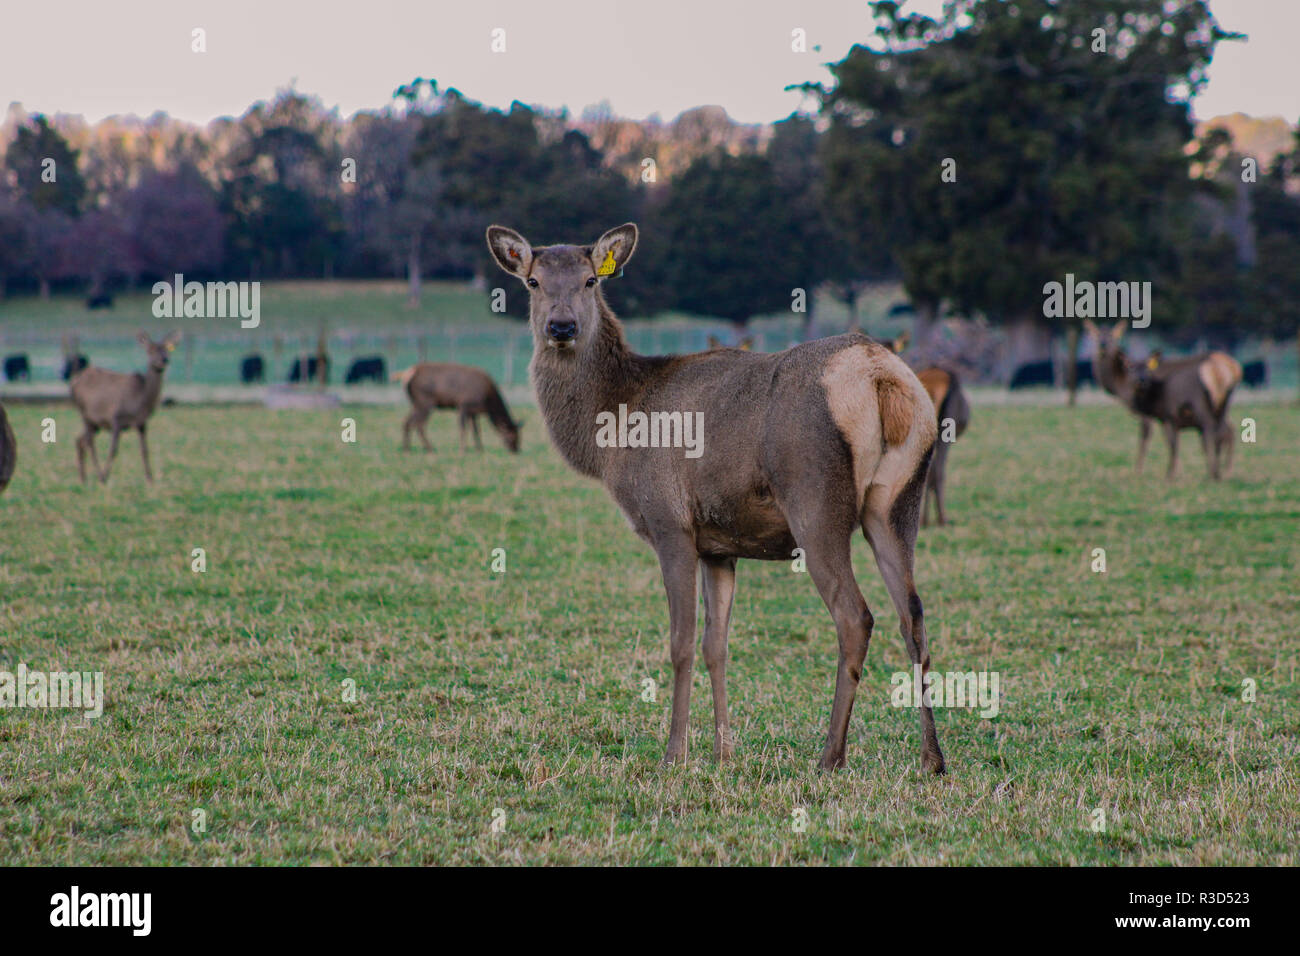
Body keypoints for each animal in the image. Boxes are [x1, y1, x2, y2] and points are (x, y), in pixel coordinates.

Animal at [70, 330, 180, 483]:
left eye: (166, 349)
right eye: (150, 350)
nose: (164, 360)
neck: (140, 402)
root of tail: (74, 381)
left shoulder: (142, 423)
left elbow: (144, 450)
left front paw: (150, 479)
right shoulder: (116, 417)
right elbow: (113, 449)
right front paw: (105, 477)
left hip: (95, 423)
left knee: (80, 440)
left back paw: (83, 478)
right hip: (84, 413)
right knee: (90, 443)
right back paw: (99, 476)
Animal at [393, 362, 522, 453]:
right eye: (512, 434)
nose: (516, 450)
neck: (488, 402)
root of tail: (407, 375)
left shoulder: (473, 412)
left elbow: (476, 431)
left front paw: (480, 449)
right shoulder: (464, 405)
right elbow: (463, 429)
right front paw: (463, 449)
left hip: (415, 403)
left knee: (406, 422)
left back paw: (406, 448)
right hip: (424, 401)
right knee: (418, 424)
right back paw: (429, 448)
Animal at [487, 223, 945, 774]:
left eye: (590, 281)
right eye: (533, 282)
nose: (561, 326)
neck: (615, 429)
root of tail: (881, 376)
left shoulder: (670, 522)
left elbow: (681, 643)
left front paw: (674, 753)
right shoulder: (719, 546)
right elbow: (717, 644)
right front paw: (724, 749)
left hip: (815, 496)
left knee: (856, 616)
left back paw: (830, 756)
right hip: (899, 499)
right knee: (913, 615)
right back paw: (932, 758)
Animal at [1084, 319, 1242, 480]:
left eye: (1113, 337)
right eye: (1096, 336)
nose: (1103, 345)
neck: (1120, 386)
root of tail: (1231, 367)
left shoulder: (1150, 412)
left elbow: (1147, 437)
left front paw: (1139, 471)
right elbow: (1168, 441)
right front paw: (1177, 470)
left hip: (1203, 405)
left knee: (1215, 430)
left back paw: (1217, 472)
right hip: (1223, 404)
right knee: (1227, 430)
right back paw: (1224, 471)